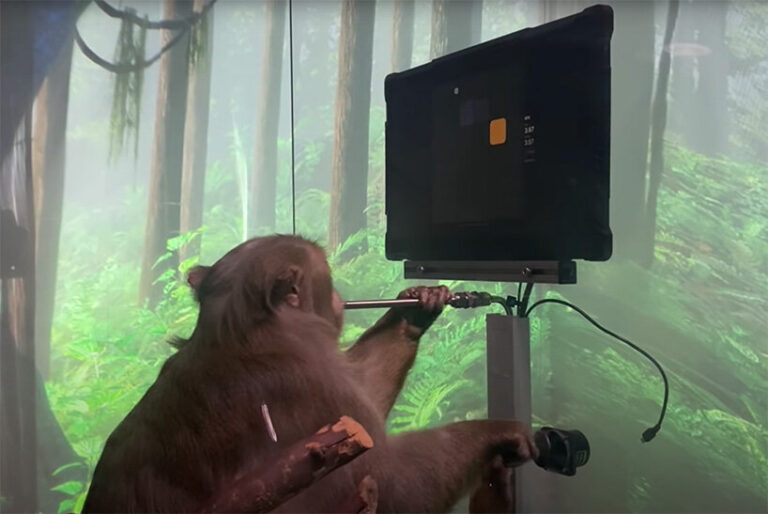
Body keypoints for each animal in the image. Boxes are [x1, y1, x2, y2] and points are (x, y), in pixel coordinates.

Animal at [83, 235, 535, 513]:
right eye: (327, 279)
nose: (338, 298)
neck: (240, 329)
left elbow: (366, 391)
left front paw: (416, 308)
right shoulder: (302, 384)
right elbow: (390, 479)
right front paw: (496, 432)